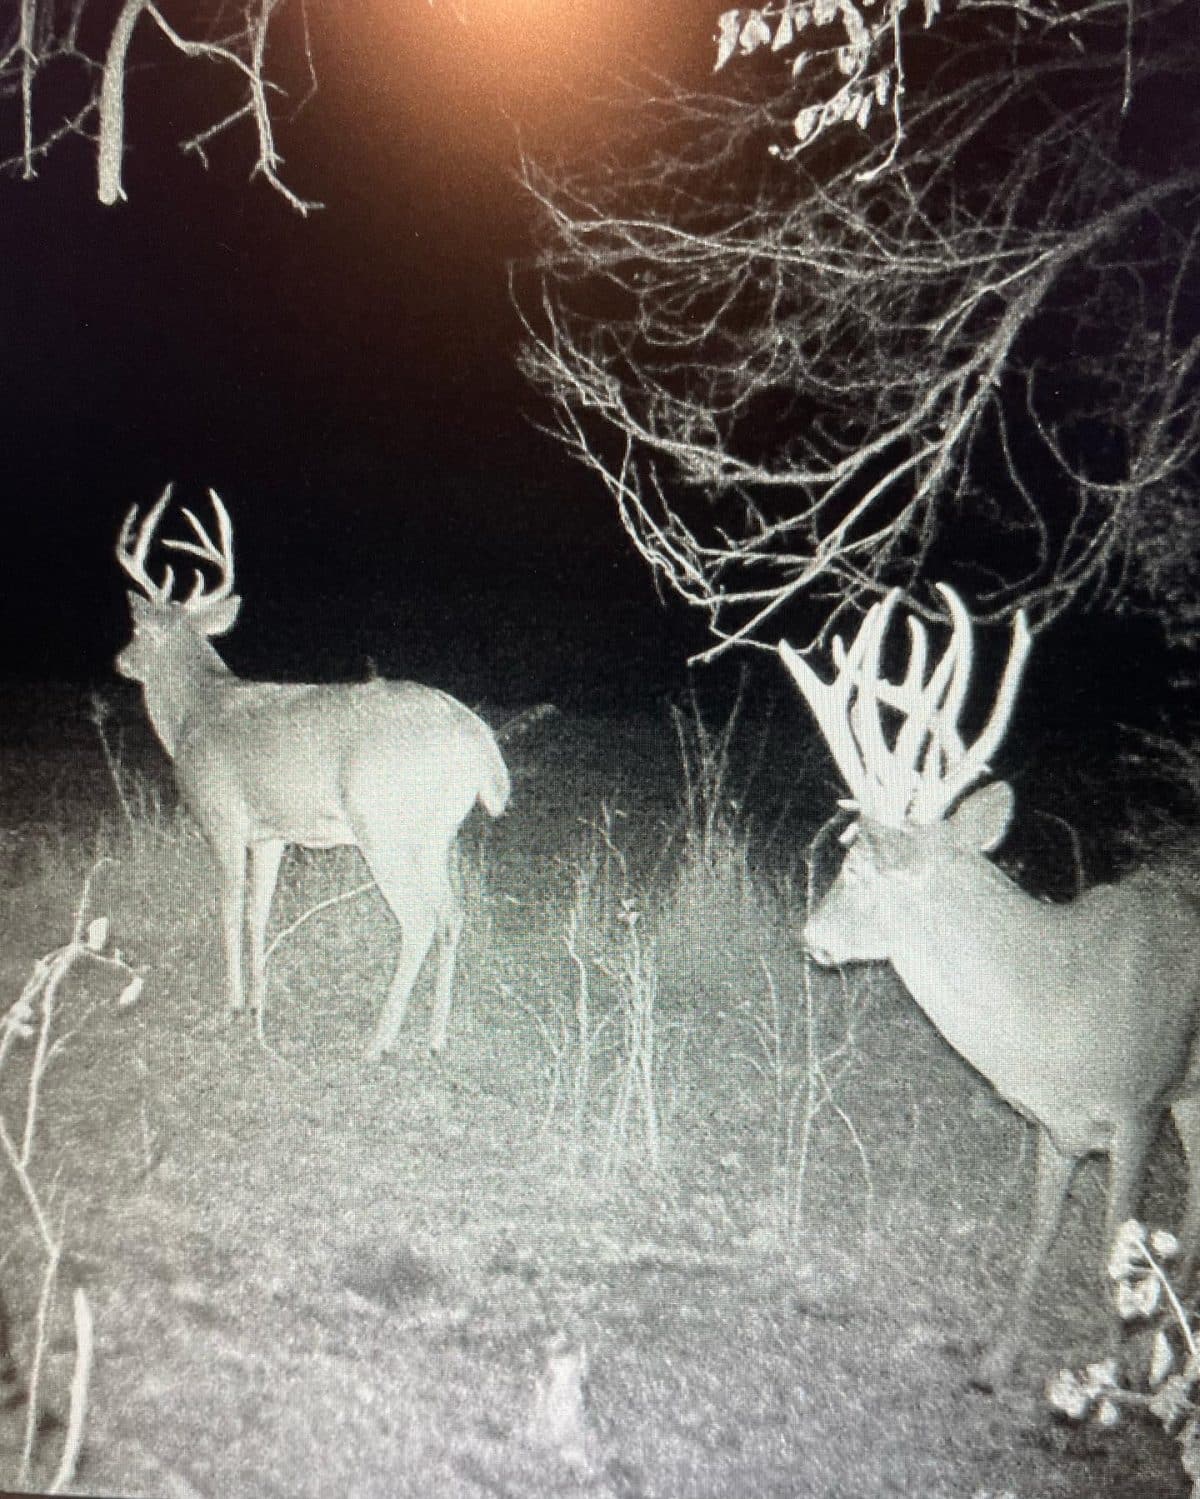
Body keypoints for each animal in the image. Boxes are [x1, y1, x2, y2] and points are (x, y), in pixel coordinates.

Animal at [115, 485, 511, 1059]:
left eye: (137, 629)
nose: (121, 660)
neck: (193, 712)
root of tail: (477, 740)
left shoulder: (223, 819)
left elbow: (230, 909)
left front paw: (227, 1009)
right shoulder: (271, 834)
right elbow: (259, 912)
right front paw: (257, 1005)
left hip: (385, 826)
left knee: (419, 917)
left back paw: (379, 1039)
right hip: (440, 833)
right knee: (452, 913)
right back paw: (435, 1036)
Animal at [779, 584, 1200, 1386]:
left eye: (859, 865)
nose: (812, 936)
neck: (1063, 1004)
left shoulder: (1139, 1108)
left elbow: (1115, 1246)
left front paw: (1112, 1369)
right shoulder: (1055, 1127)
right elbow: (1040, 1230)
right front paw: (995, 1356)